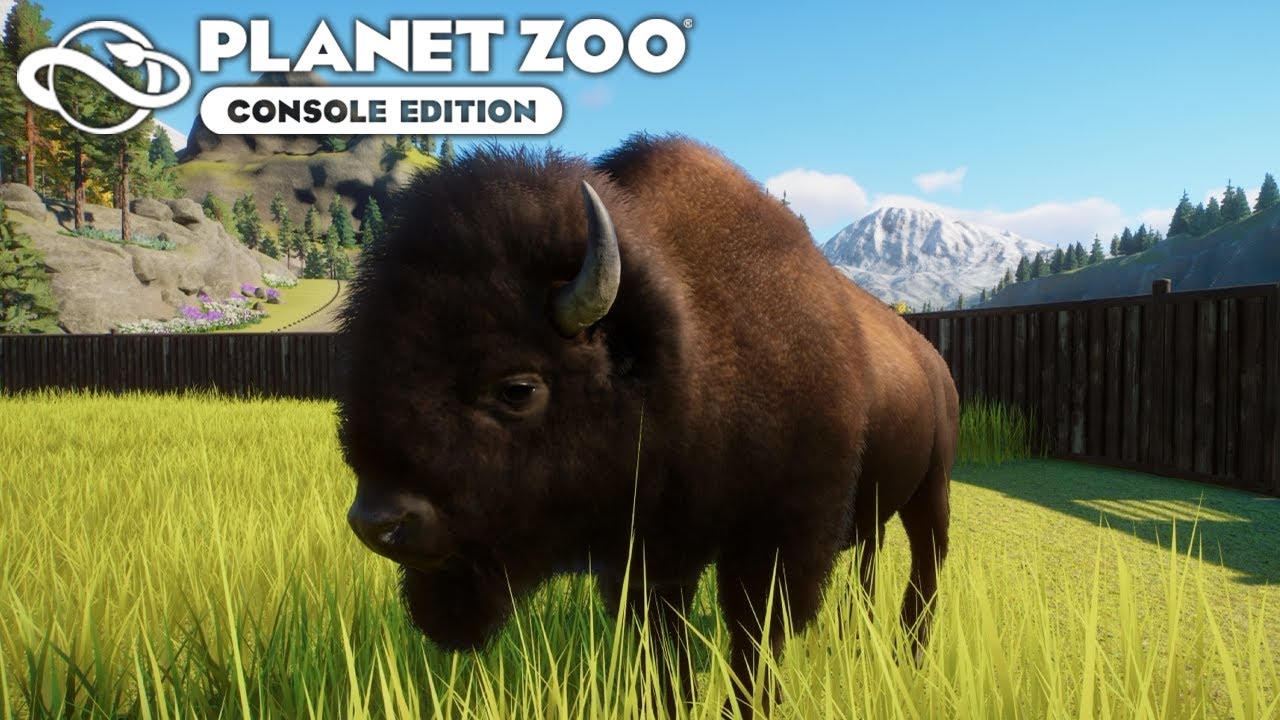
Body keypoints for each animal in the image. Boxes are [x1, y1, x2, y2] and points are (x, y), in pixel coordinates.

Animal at [337, 134, 959, 715]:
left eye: (517, 389)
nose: (378, 523)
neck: (694, 347)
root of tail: (935, 362)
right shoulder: (647, 561)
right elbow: (660, 651)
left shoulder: (780, 540)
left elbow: (755, 637)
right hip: (873, 515)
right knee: (869, 565)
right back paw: (854, 644)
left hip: (931, 491)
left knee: (926, 562)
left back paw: (910, 656)